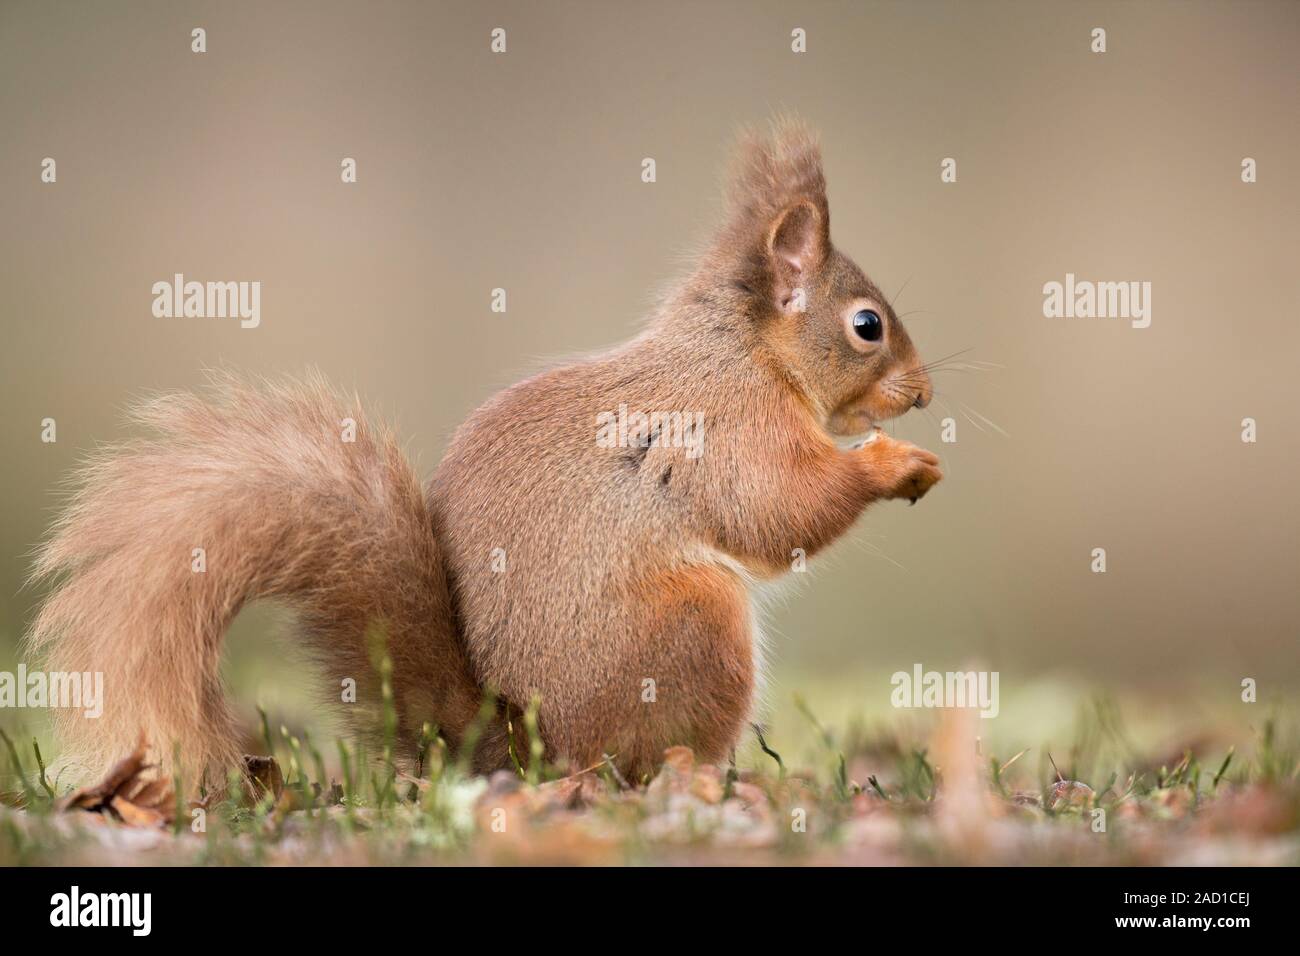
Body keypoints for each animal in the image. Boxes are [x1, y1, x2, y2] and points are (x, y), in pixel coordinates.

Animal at [27, 119, 941, 786]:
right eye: (867, 326)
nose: (925, 394)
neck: (746, 351)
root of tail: (524, 746)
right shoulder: (730, 427)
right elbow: (778, 509)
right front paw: (892, 466)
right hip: (694, 629)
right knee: (637, 763)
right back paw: (705, 778)